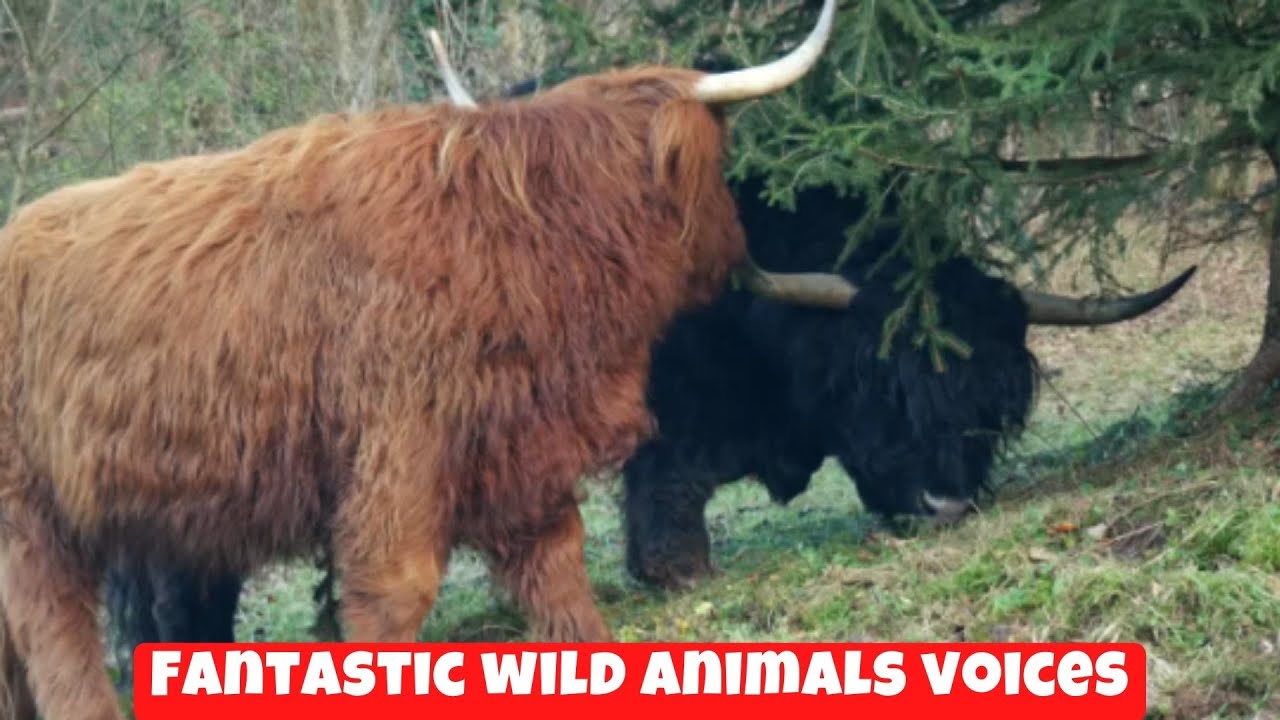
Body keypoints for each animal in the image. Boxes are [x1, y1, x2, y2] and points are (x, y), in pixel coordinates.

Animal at [0, 2, 851, 717]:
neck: (528, 236)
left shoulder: (520, 446)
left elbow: (560, 572)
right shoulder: (400, 442)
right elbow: (396, 592)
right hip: (31, 513)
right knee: (54, 631)